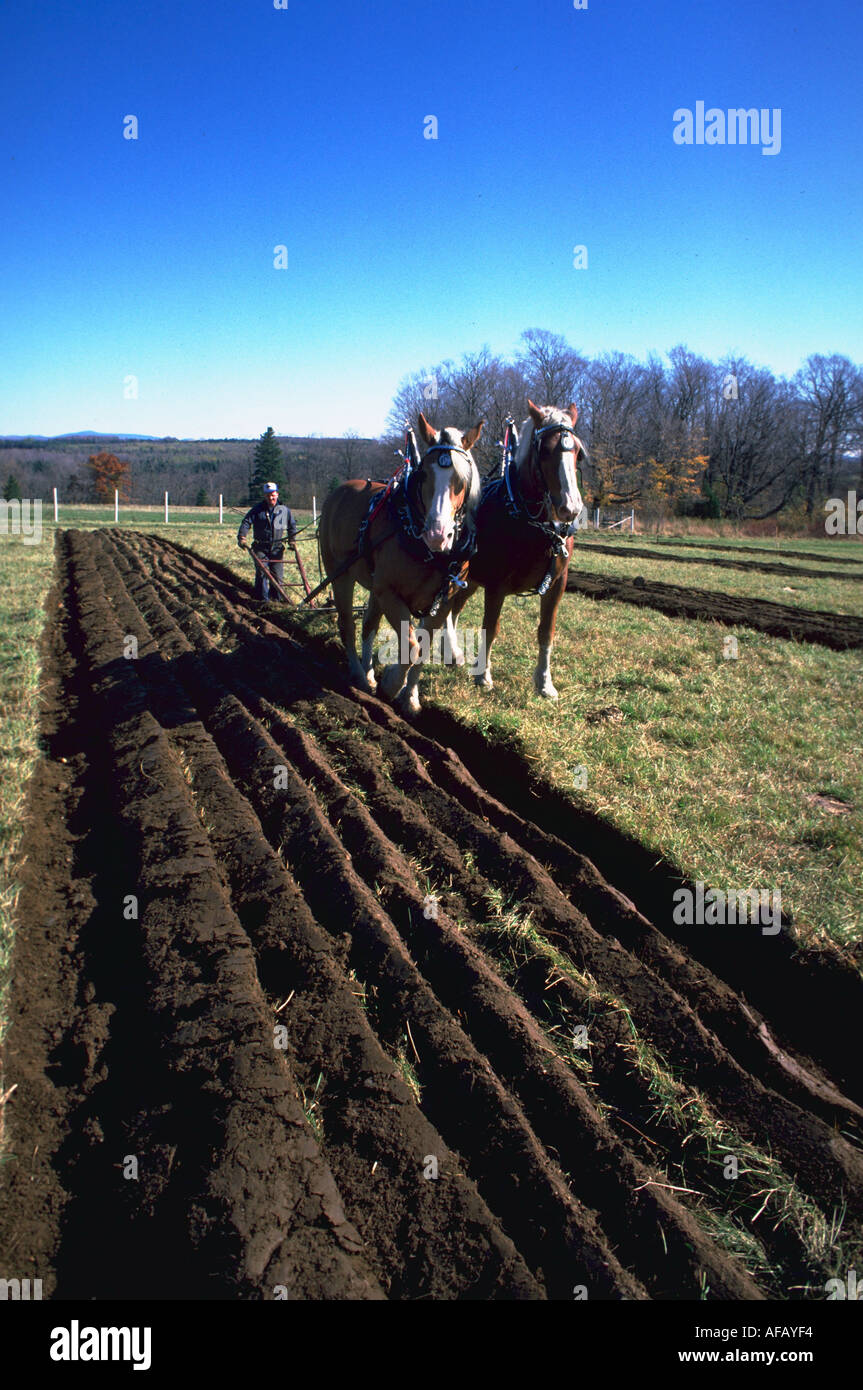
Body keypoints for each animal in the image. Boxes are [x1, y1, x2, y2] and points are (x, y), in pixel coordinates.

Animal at [318, 413, 483, 714]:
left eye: (462, 479)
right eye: (423, 474)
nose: (437, 534)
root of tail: (342, 489)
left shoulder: (441, 604)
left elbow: (423, 647)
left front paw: (410, 698)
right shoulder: (390, 594)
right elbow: (410, 645)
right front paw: (392, 683)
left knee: (368, 624)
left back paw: (369, 672)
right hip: (341, 575)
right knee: (348, 624)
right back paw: (359, 675)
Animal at [437, 400, 585, 700]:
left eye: (576, 450)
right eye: (545, 450)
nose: (571, 507)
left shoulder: (557, 583)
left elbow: (546, 631)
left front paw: (544, 683)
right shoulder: (496, 585)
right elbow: (491, 628)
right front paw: (483, 675)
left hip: (470, 580)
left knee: (454, 609)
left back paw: (452, 653)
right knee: (447, 609)